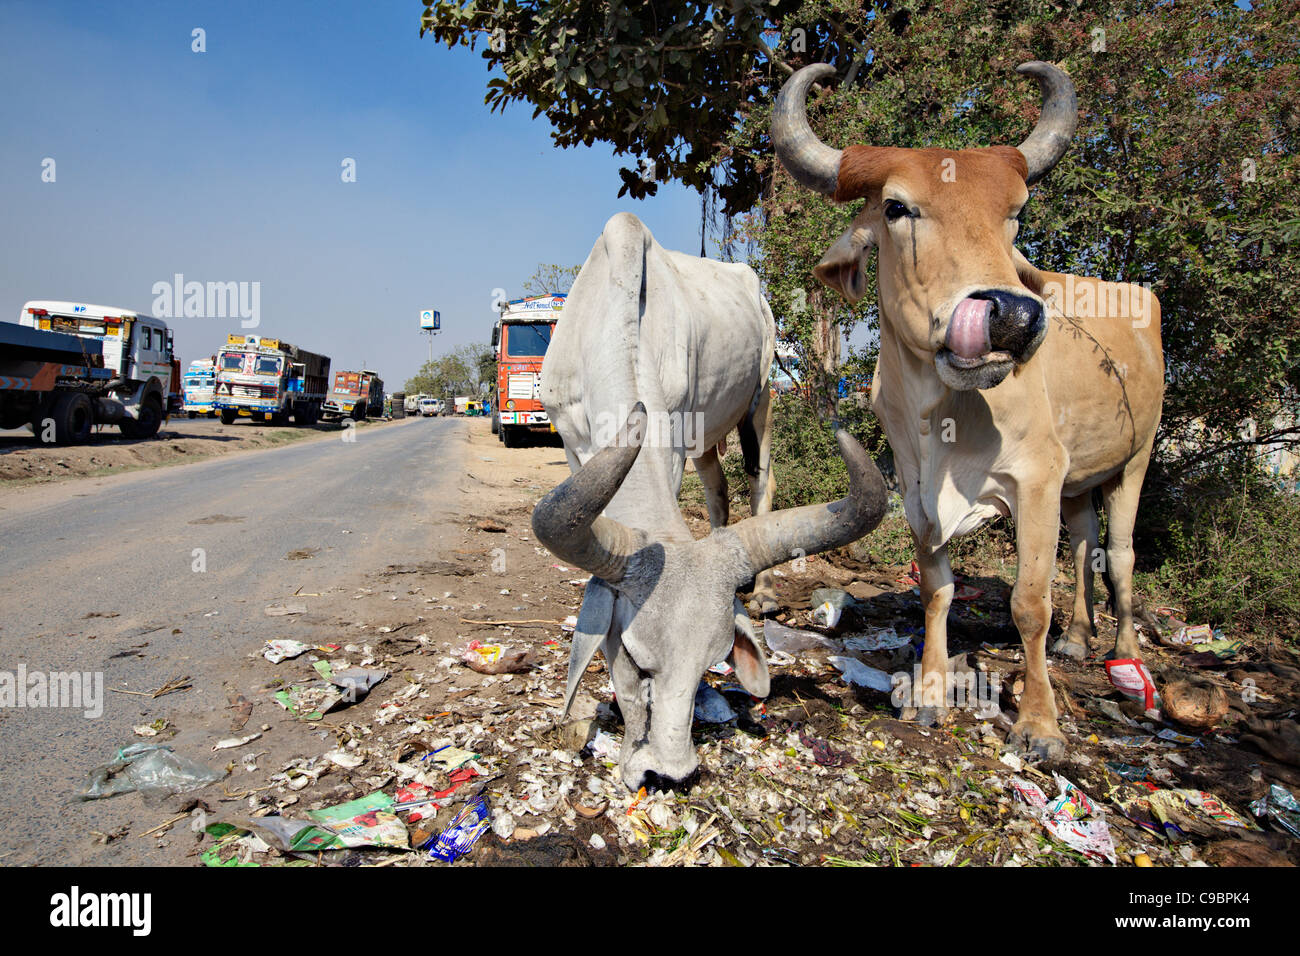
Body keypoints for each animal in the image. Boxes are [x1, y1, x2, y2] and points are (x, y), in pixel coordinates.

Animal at [533, 212, 887, 790]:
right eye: (634, 662)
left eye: (708, 667)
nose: (670, 772)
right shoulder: (571, 441)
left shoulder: (674, 432)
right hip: (708, 439)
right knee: (719, 490)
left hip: (761, 397)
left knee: (761, 481)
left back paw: (762, 590)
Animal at [772, 62, 1165, 758]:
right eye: (897, 207)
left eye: (1014, 214)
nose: (1010, 316)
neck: (941, 414)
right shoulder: (914, 488)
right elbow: (937, 591)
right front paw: (929, 692)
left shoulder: (1035, 480)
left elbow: (1029, 603)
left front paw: (1039, 724)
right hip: (1078, 482)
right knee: (1085, 546)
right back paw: (1077, 639)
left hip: (1136, 458)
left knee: (1119, 555)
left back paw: (1122, 653)